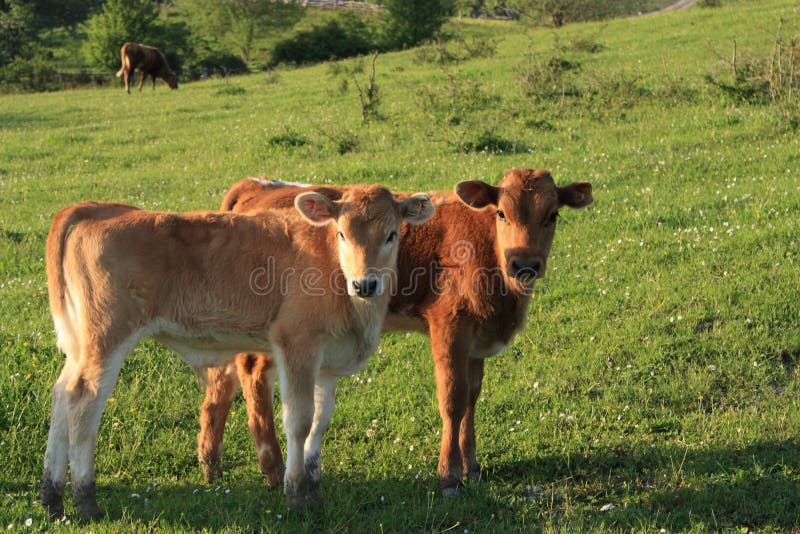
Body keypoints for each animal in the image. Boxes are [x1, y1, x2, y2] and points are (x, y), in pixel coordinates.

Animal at [40, 186, 435, 520]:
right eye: (342, 234)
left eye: (392, 234)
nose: (365, 283)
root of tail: (92, 209)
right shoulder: (297, 346)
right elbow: (299, 421)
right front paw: (295, 495)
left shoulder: (328, 364)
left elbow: (320, 424)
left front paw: (315, 490)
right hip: (107, 339)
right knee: (84, 403)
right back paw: (86, 503)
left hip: (79, 346)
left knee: (61, 394)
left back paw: (52, 498)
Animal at [196, 169, 593, 496]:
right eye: (501, 213)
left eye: (553, 215)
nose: (525, 263)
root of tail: (257, 184)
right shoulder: (449, 327)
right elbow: (452, 399)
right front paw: (450, 475)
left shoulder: (476, 340)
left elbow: (472, 398)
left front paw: (472, 465)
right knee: (252, 376)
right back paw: (273, 468)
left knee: (223, 381)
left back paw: (211, 464)